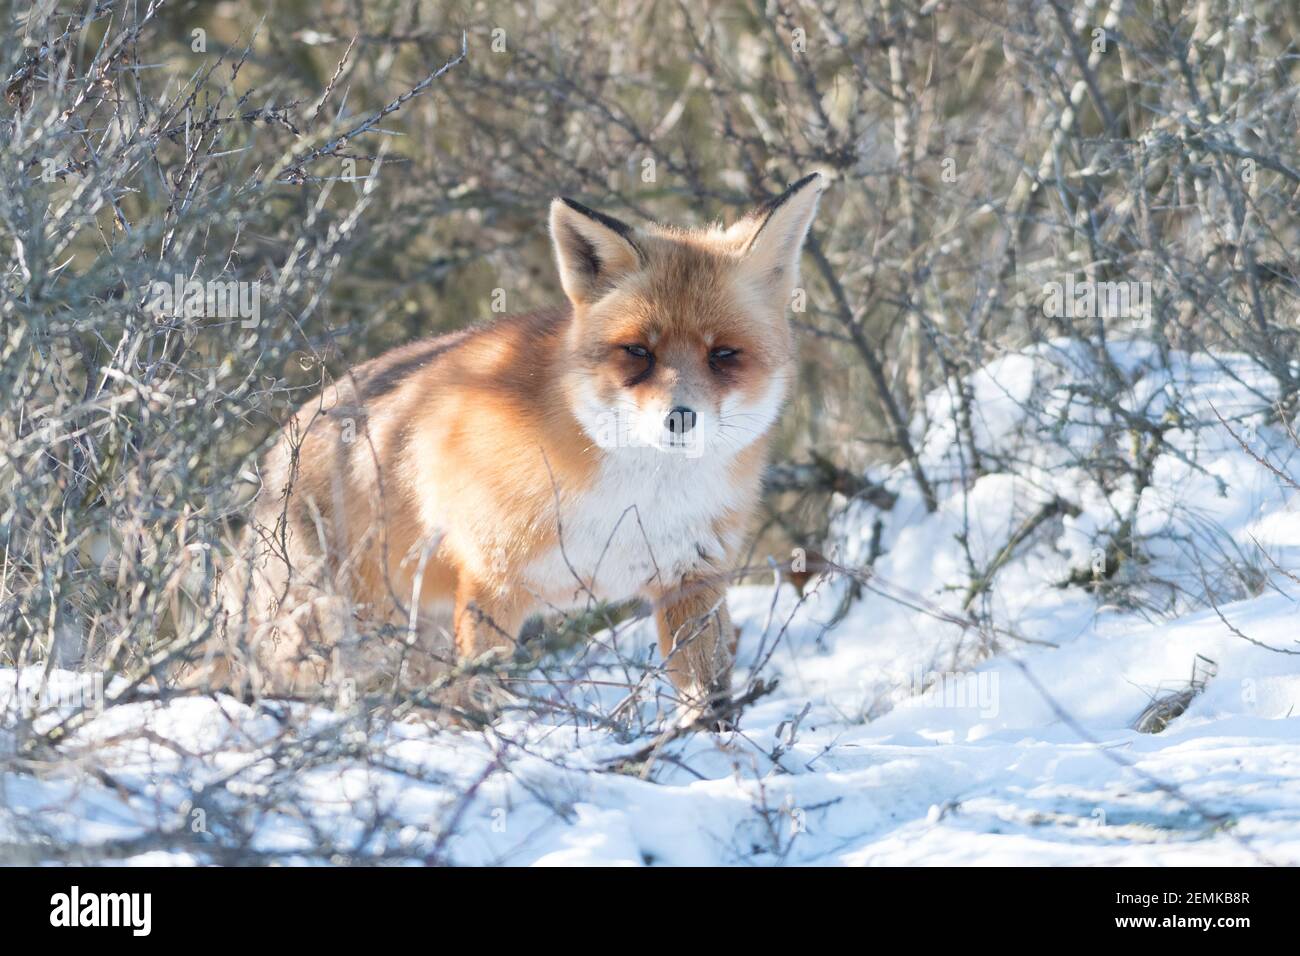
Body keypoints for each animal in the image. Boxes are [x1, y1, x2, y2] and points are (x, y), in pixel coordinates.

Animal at [195, 172, 824, 724]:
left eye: (723, 355)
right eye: (638, 352)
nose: (680, 418)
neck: (634, 499)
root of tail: (289, 434)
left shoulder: (692, 578)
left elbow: (708, 699)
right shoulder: (492, 577)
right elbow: (478, 697)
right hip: (334, 632)